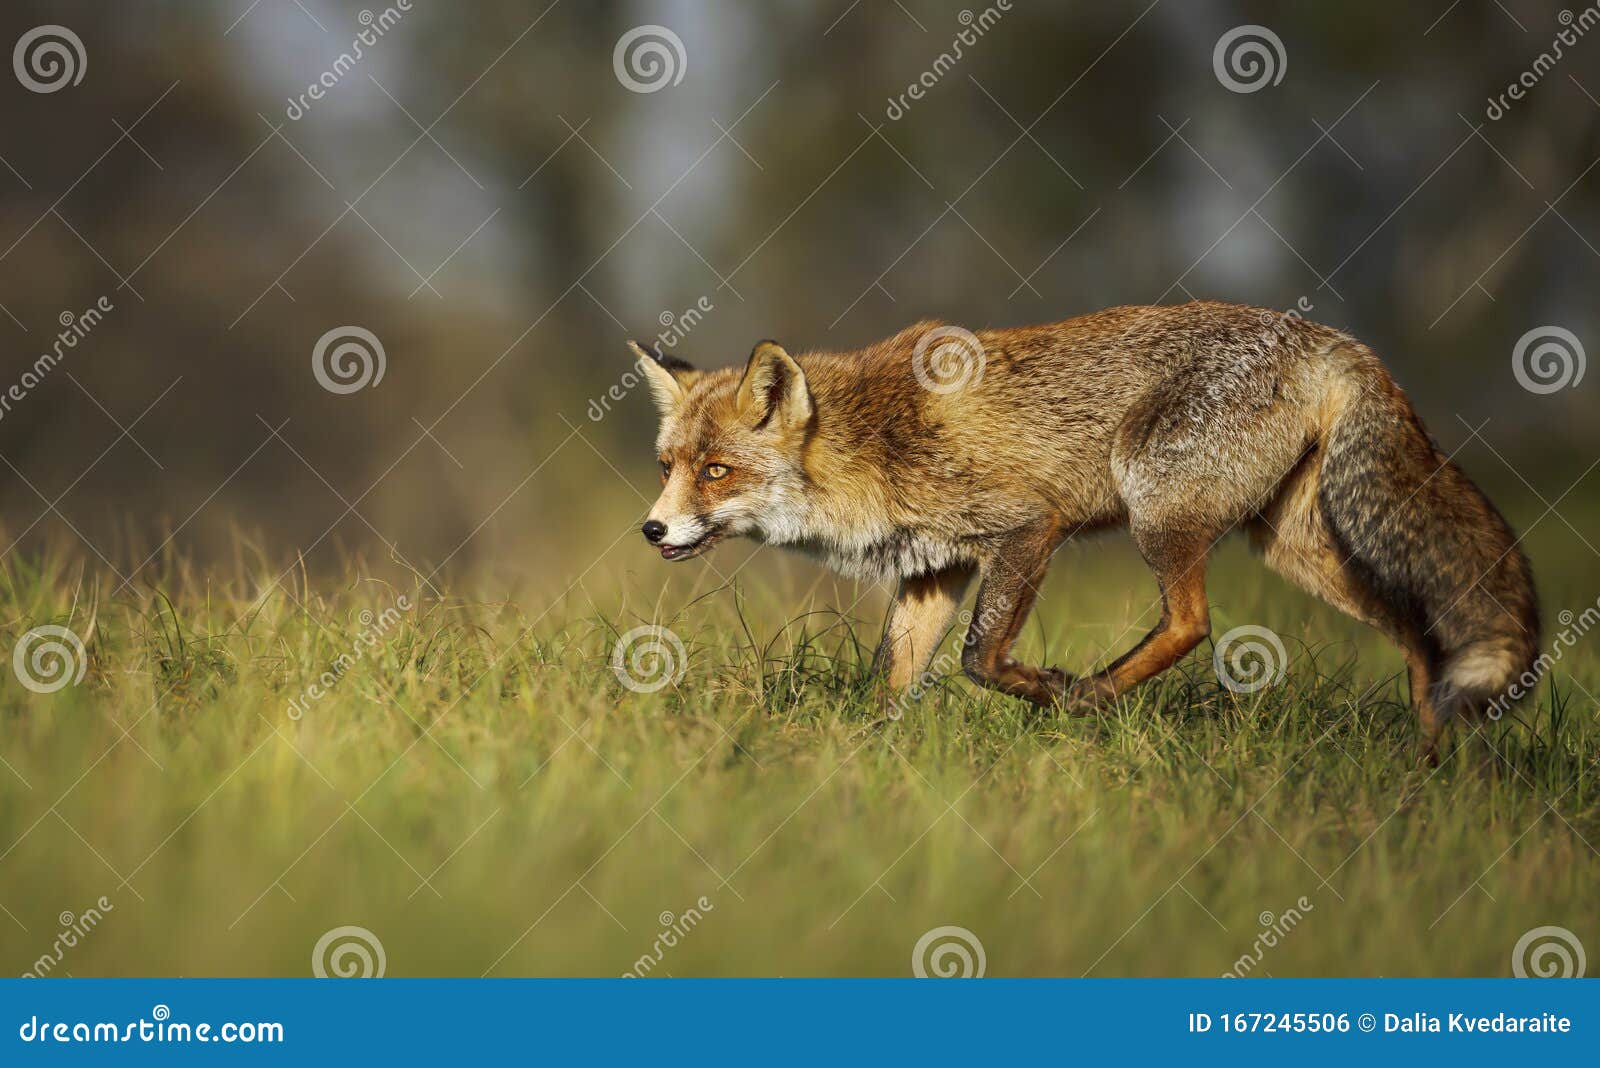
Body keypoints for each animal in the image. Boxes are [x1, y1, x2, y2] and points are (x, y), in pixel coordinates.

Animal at [628, 301, 1539, 763]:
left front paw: (1046, 690)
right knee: (1416, 627)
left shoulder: (1029, 525)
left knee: (1190, 622)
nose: (651, 527)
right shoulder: (932, 570)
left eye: (718, 472)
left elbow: (980, 659)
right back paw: (1428, 765)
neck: (871, 443)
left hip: (1155, 499)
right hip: (1292, 546)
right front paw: (864, 764)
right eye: (668, 464)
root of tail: (1335, 339)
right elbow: (890, 680)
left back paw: (1090, 696)